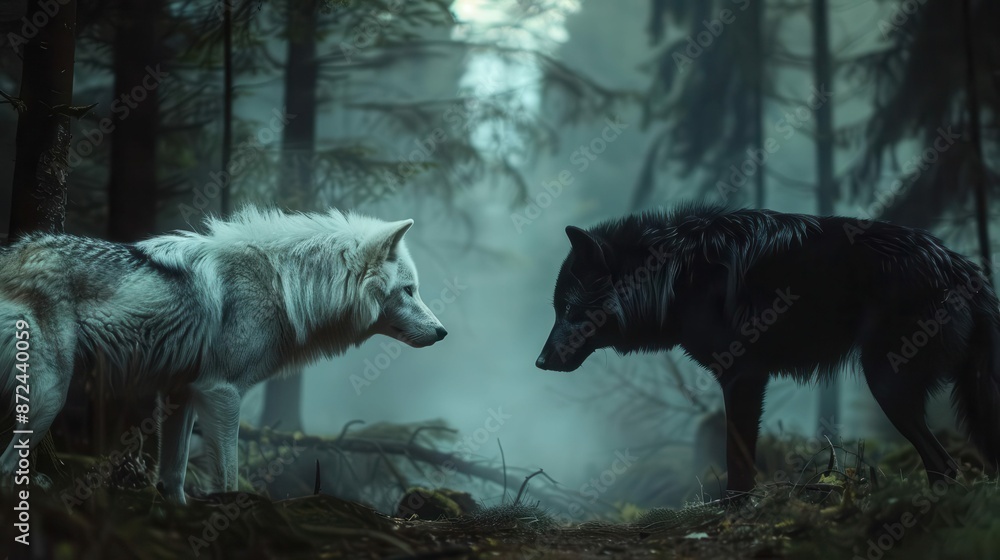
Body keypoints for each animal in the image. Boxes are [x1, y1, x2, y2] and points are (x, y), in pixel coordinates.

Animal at [0, 207, 447, 503]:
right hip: (49, 397)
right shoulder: (222, 393)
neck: (284, 285)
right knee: (7, 467)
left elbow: (173, 476)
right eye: (409, 290)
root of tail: (12, 256)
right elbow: (228, 481)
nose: (443, 332)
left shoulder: (180, 393)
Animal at [536, 204, 1000, 497]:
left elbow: (738, 464)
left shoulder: (742, 377)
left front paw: (731, 514)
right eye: (556, 310)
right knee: (946, 465)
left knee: (945, 464)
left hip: (887, 384)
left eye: (571, 310)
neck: (674, 277)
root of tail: (964, 267)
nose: (539, 363)